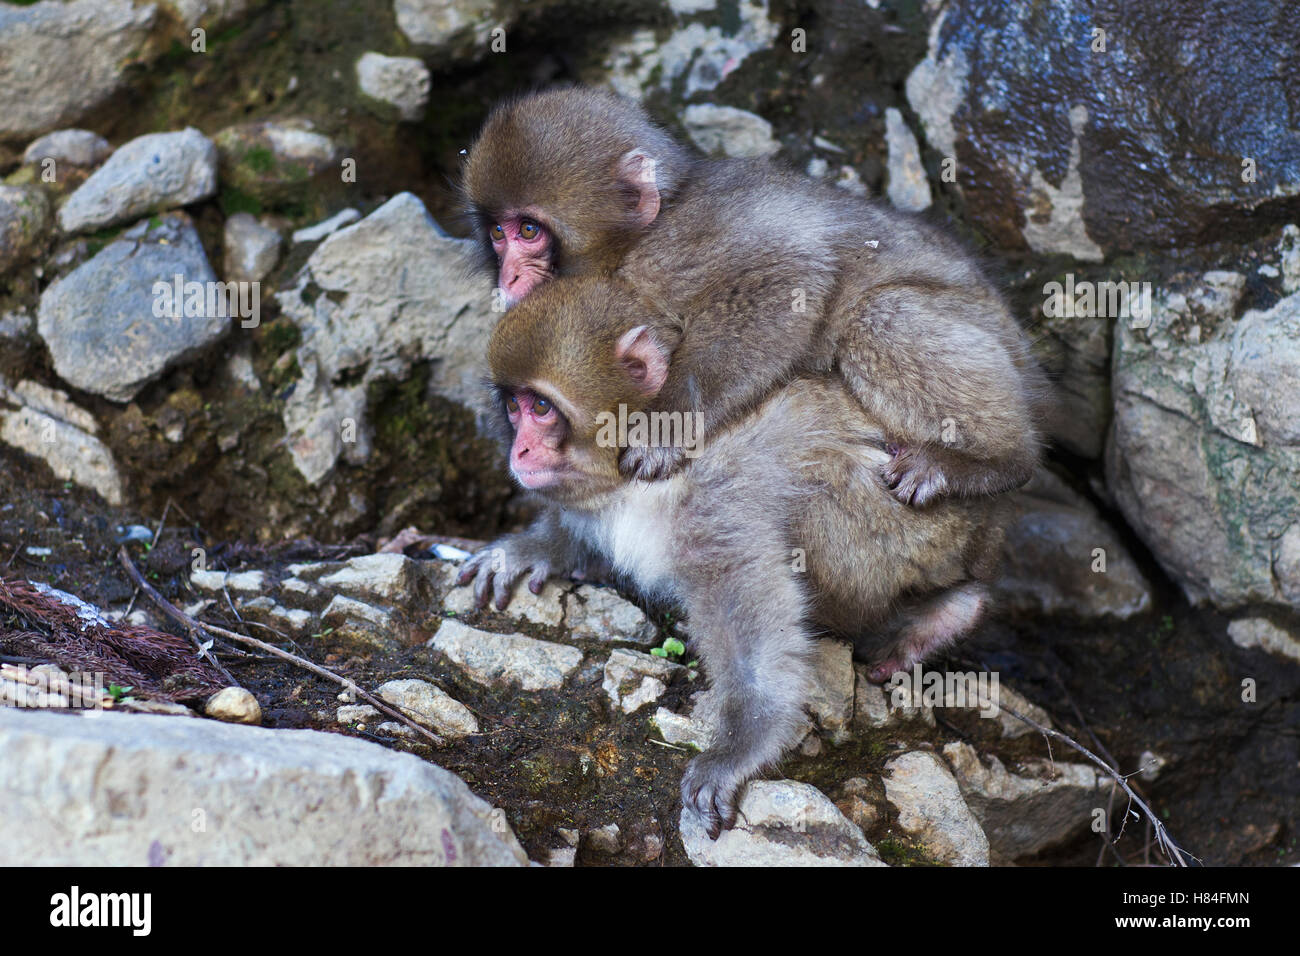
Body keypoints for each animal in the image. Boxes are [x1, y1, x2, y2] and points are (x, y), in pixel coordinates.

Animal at [454, 275, 1005, 837]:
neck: (637, 471)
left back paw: (941, 616)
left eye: (541, 409)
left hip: (915, 534)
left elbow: (748, 621)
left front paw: (740, 748)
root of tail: (985, 528)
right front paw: (529, 548)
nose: (518, 450)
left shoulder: (714, 500)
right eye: (514, 407)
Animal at [462, 86, 1046, 506]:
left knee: (880, 314)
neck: (642, 235)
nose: (508, 278)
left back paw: (992, 464)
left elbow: (787, 274)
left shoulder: (682, 248)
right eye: (497, 234)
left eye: (529, 231)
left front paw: (667, 426)